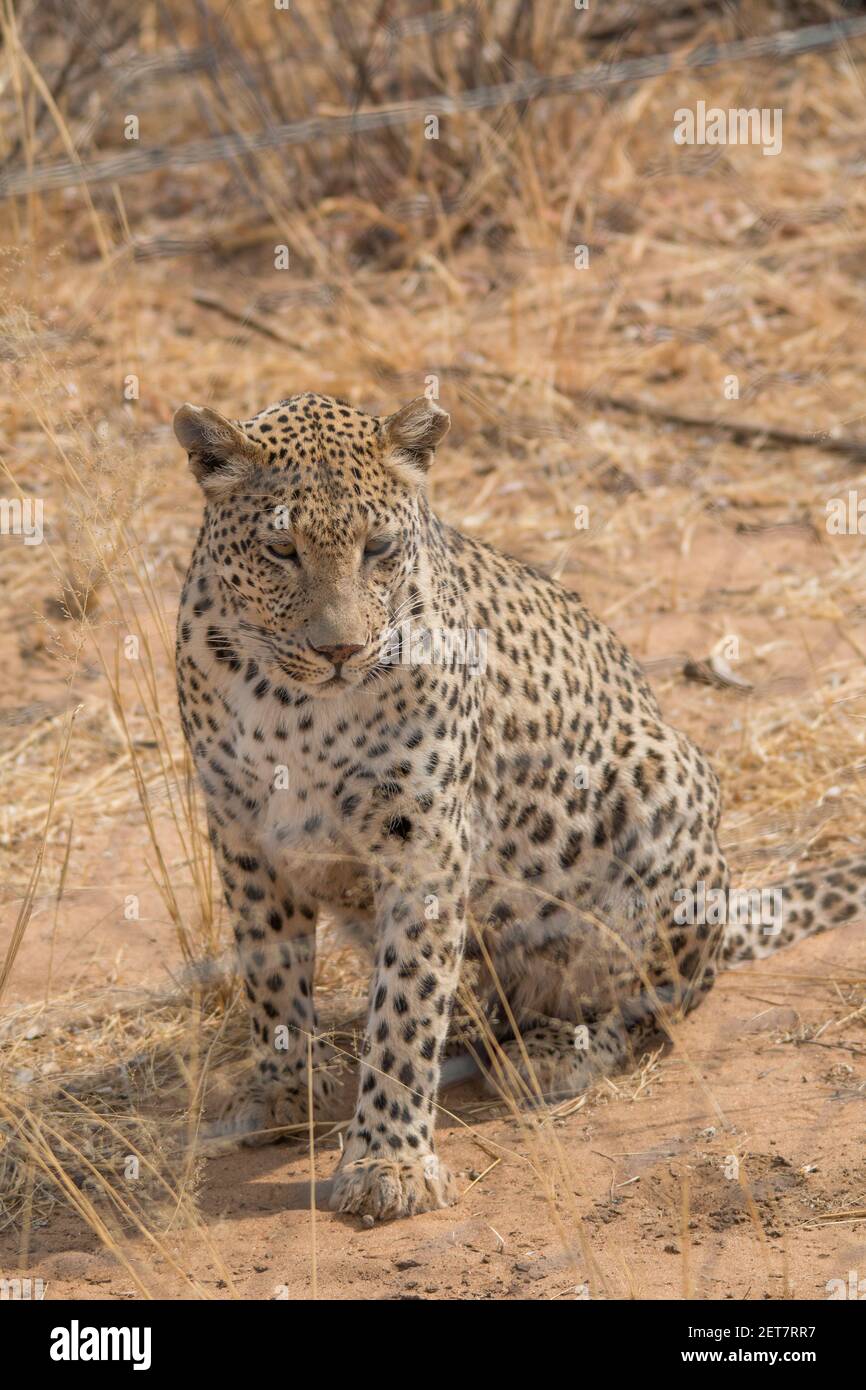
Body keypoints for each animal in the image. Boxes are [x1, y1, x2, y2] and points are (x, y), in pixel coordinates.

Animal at [172, 390, 866, 1222]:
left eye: (379, 549)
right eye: (281, 551)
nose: (340, 650)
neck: (291, 705)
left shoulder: (423, 839)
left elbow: (406, 1007)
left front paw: (388, 1161)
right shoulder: (245, 834)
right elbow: (271, 976)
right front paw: (286, 1091)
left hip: (660, 785)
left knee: (647, 1002)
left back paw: (552, 1054)